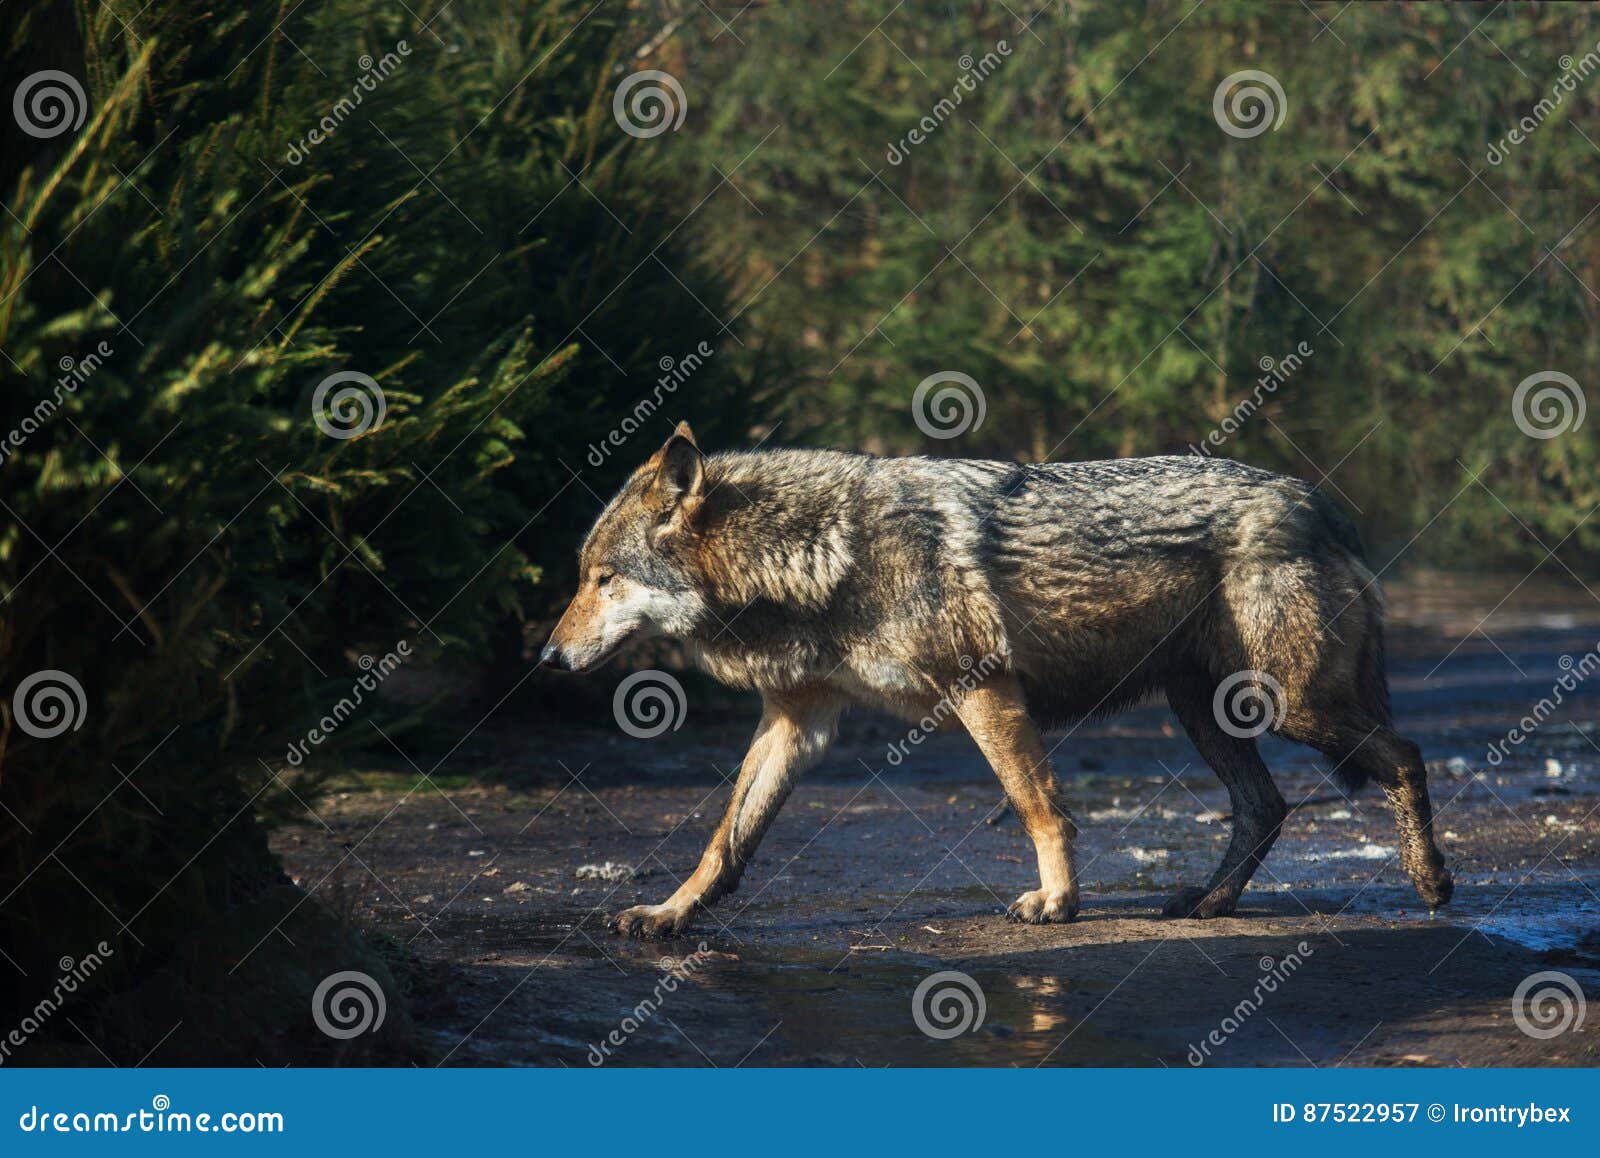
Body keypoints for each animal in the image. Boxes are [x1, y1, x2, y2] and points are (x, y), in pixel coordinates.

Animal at [543, 422, 1453, 939]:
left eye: (601, 580)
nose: (546, 660)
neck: (819, 557)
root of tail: (1319, 500)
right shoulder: (797, 723)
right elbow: (725, 840)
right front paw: (670, 914)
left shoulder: (984, 690)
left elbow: (1038, 805)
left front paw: (1057, 904)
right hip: (1205, 712)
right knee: (1267, 807)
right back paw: (1210, 904)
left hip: (1291, 706)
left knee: (1405, 755)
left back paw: (1432, 882)